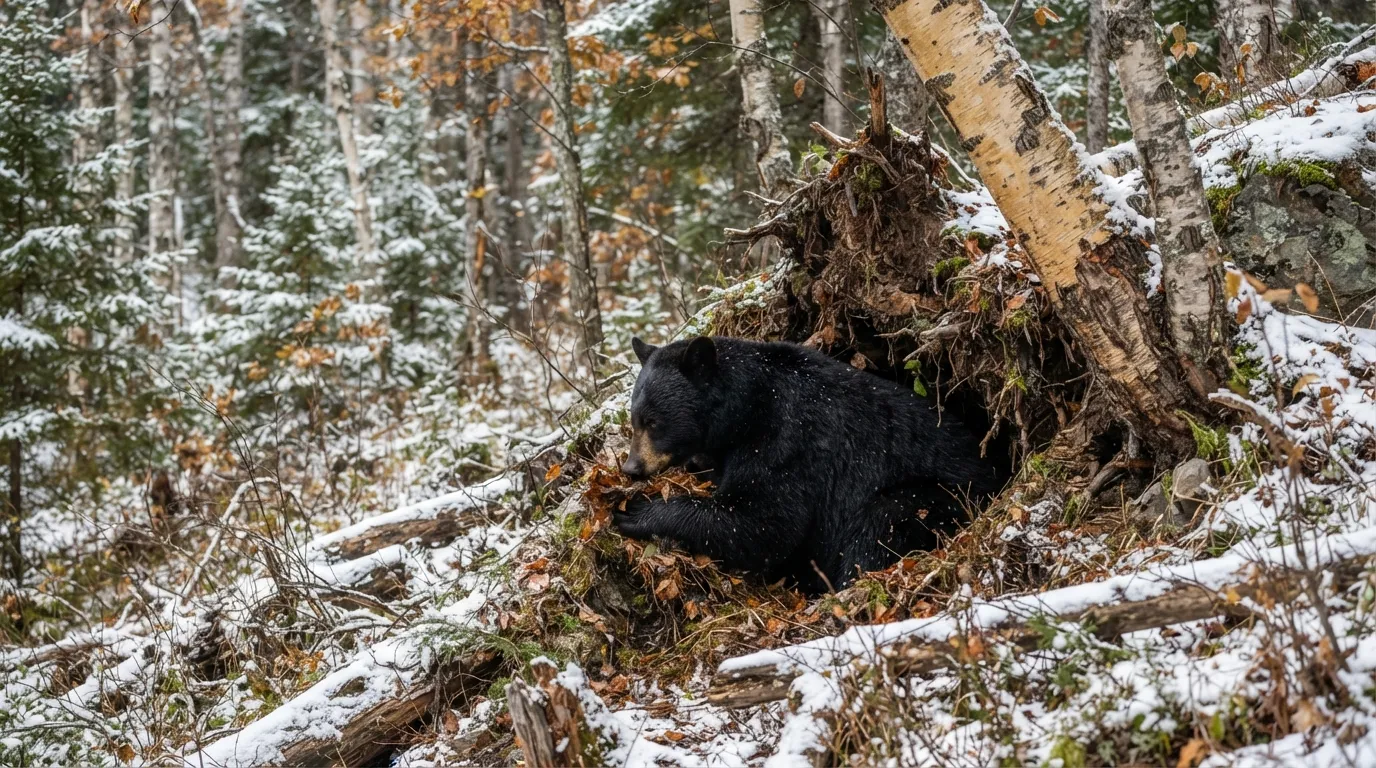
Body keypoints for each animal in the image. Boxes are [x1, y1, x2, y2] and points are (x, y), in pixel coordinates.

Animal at [614, 335, 1005, 593]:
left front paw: (638, 511)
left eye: (653, 421)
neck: (747, 406)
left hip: (945, 499)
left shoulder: (786, 441)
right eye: (634, 418)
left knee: (881, 522)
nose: (631, 468)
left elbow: (765, 522)